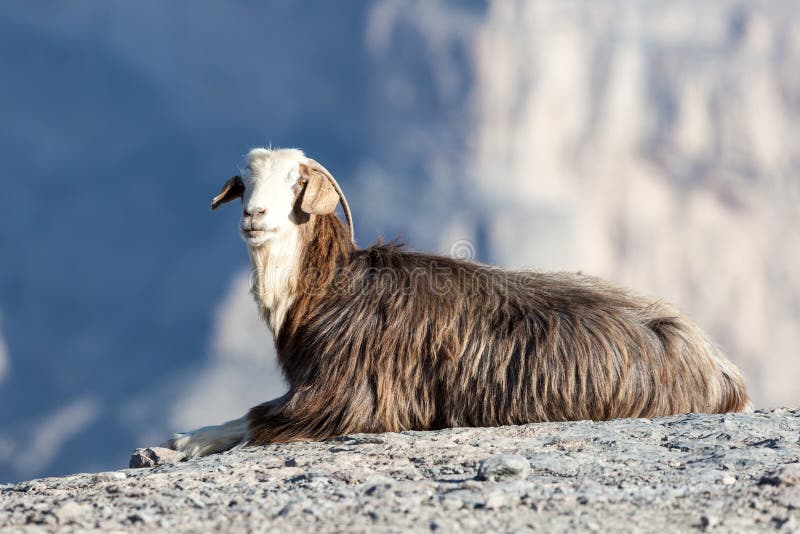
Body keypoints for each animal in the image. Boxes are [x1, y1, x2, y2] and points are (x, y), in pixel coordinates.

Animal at [164, 147, 750, 459]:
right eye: (245, 185)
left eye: (296, 183)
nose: (255, 216)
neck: (330, 286)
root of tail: (721, 368)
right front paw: (186, 438)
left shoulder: (343, 400)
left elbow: (255, 418)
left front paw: (187, 440)